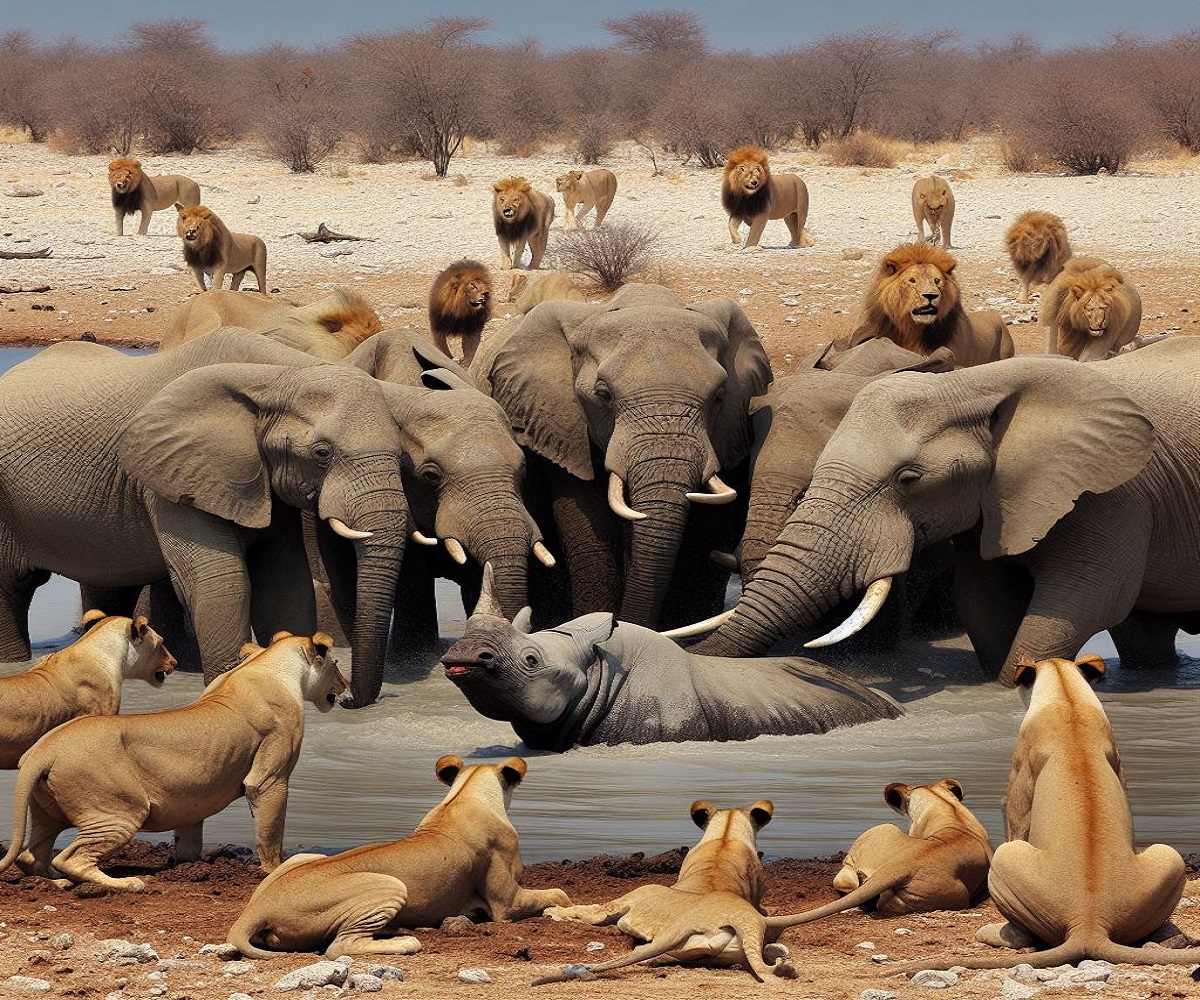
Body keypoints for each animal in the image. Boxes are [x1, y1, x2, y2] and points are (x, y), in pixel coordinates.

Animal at [0, 328, 427, 707]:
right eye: (322, 453)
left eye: (402, 456)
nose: (349, 700)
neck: (279, 375)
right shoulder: (175, 474)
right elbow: (220, 581)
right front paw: (228, 679)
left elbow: (285, 582)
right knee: (11, 587)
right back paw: (13, 661)